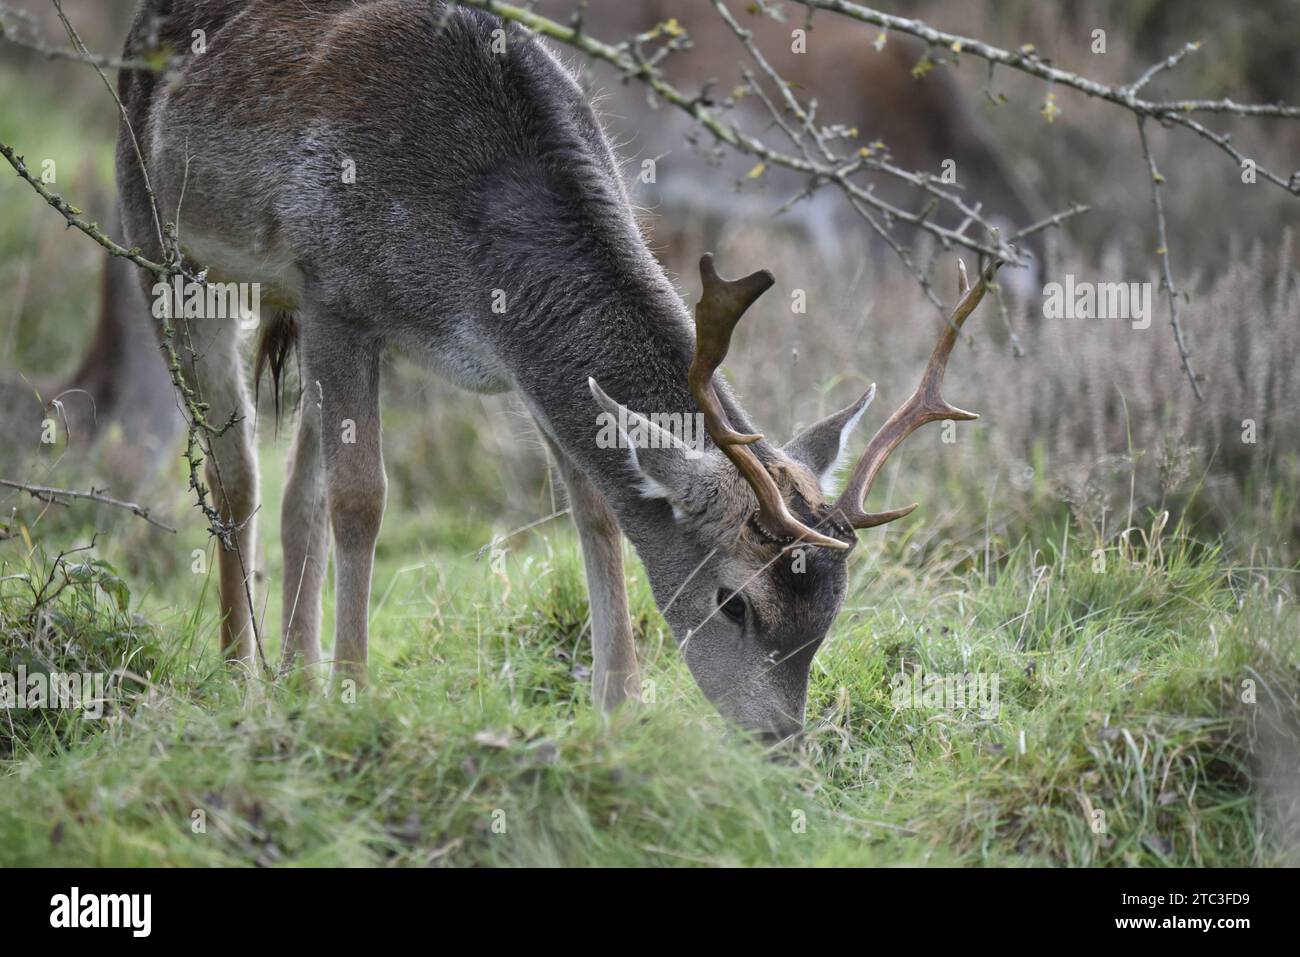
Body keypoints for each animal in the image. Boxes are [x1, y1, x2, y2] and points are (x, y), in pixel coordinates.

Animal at [115, 0, 1001, 740]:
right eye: (734, 601)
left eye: (834, 608)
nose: (781, 740)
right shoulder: (339, 292)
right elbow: (362, 499)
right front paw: (358, 693)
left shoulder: (508, 361)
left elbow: (595, 508)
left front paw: (618, 707)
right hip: (164, 245)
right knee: (237, 473)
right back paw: (244, 674)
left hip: (287, 303)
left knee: (297, 488)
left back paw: (296, 678)